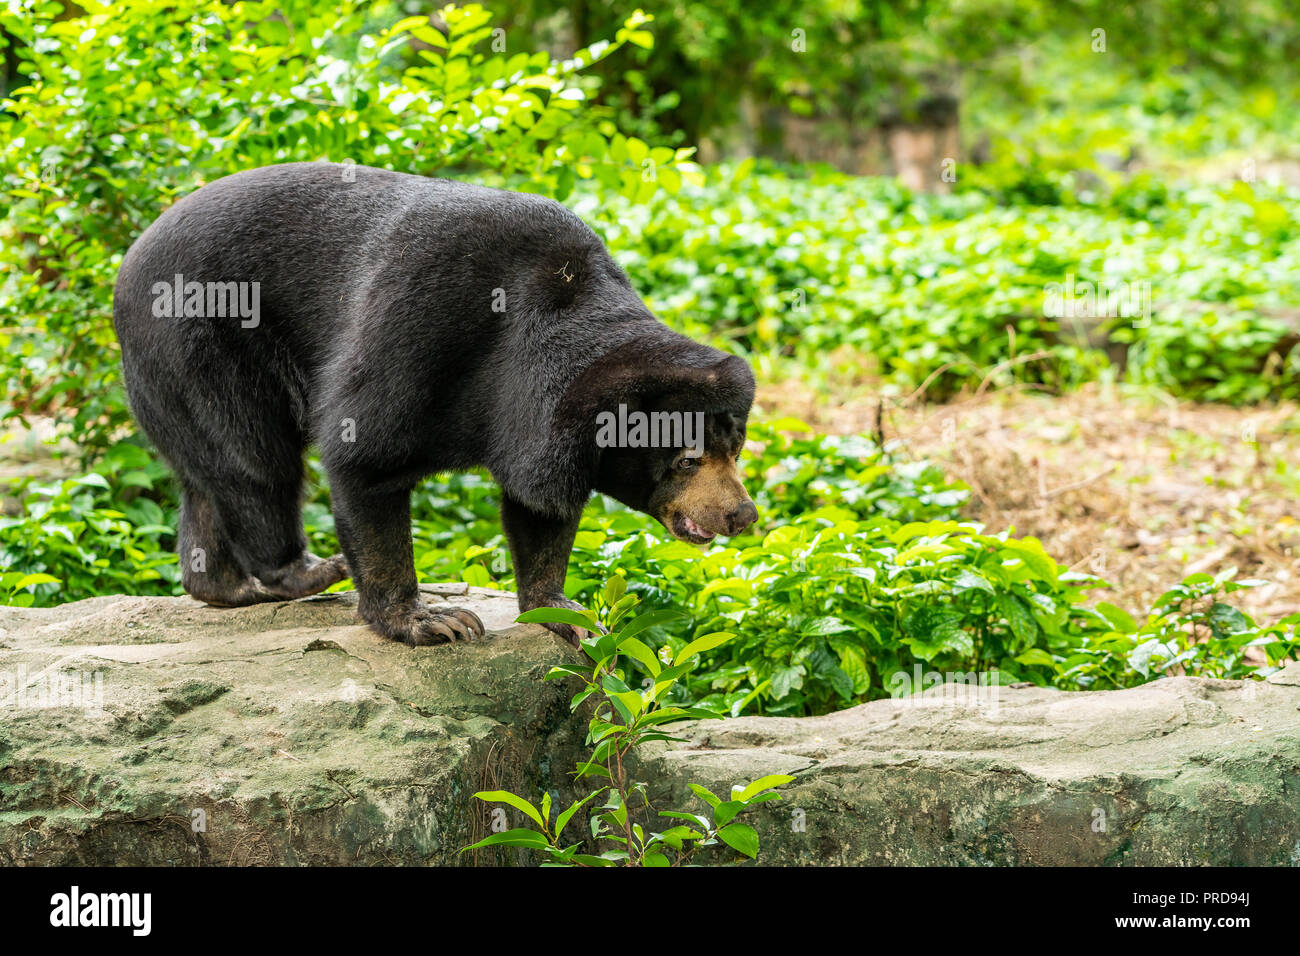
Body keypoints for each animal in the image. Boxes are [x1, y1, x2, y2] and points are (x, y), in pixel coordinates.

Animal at [112, 162, 758, 647]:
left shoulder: (538, 426)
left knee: (209, 472)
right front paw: (432, 621)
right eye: (687, 459)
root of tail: (127, 261)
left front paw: (567, 615)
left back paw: (224, 587)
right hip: (202, 340)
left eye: (736, 451)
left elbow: (538, 510)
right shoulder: (421, 326)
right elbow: (364, 454)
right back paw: (307, 570)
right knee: (255, 461)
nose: (742, 515)